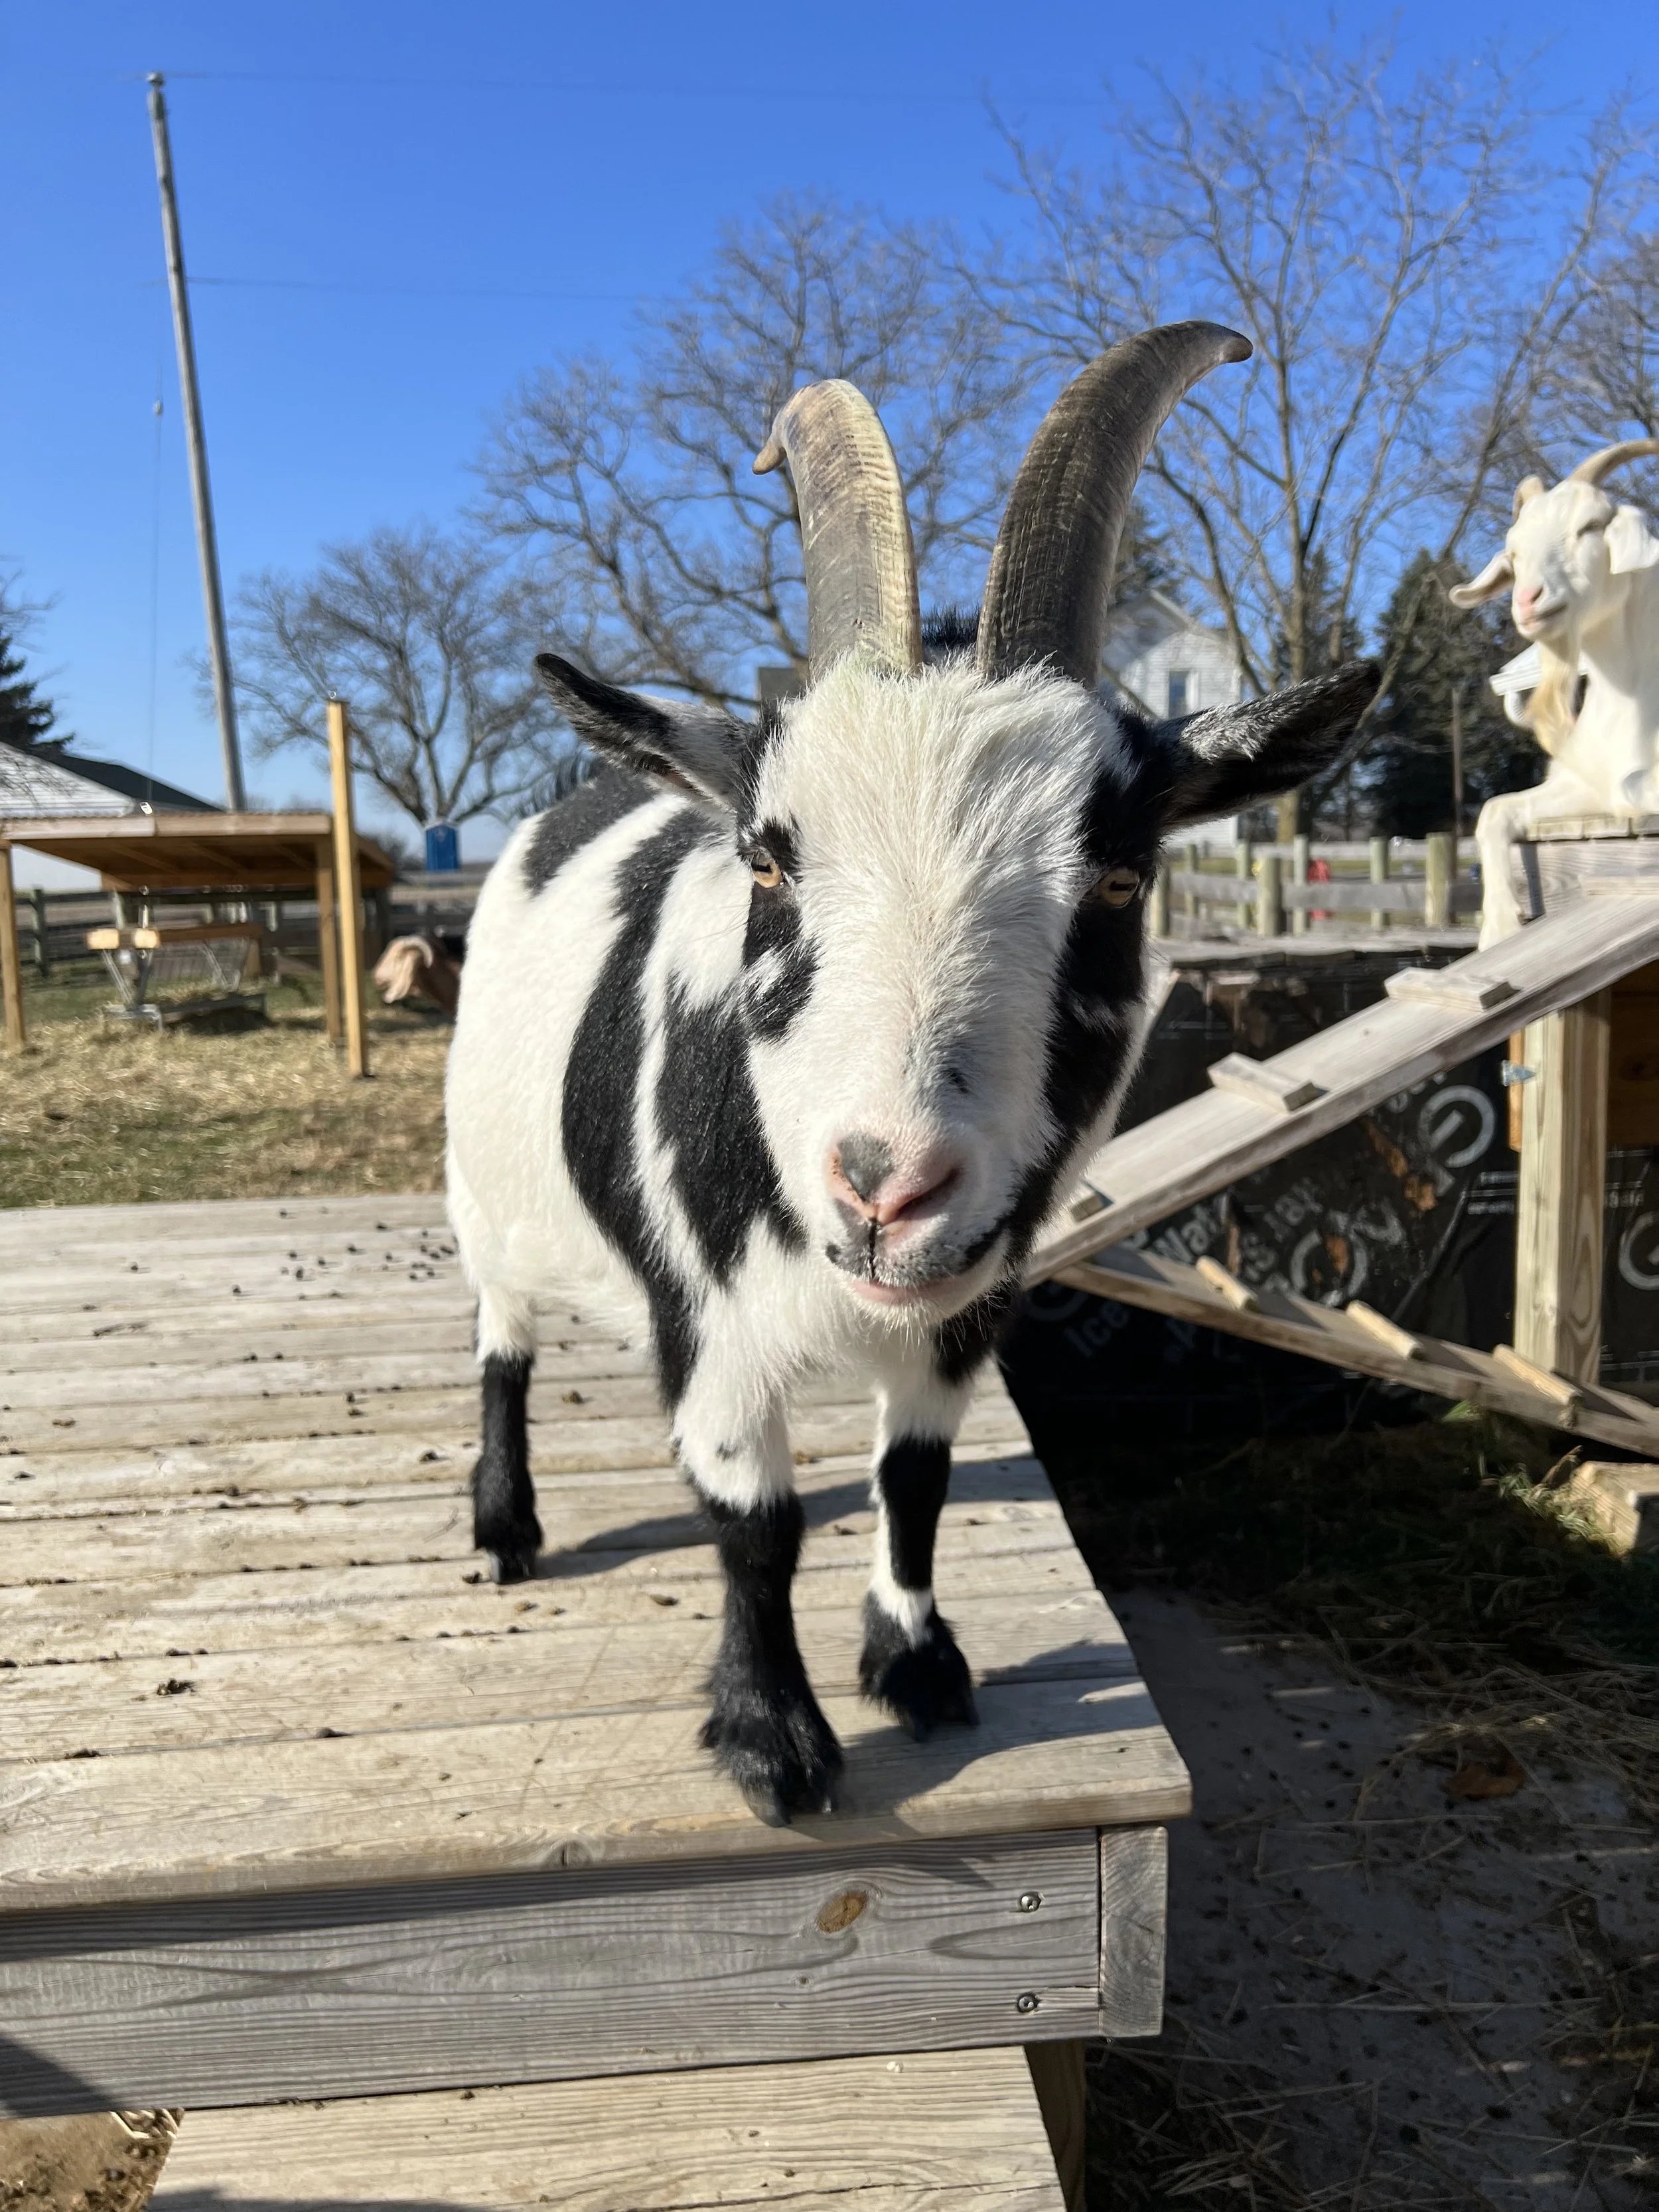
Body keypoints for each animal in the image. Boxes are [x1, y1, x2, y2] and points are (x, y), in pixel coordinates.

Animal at [444, 323, 1376, 1824]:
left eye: (1121, 876)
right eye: (769, 858)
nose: (886, 1188)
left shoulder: (965, 1307)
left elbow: (917, 1478)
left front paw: (918, 1666)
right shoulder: (707, 1318)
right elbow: (752, 1523)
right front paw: (772, 1740)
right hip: (481, 1195)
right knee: (500, 1342)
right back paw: (504, 1523)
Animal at [1450, 438, 1659, 944]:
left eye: (1589, 527)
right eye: (1513, 555)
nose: (1529, 601)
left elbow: (1632, 784)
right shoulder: (1580, 782)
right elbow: (1493, 811)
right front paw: (1499, 929)